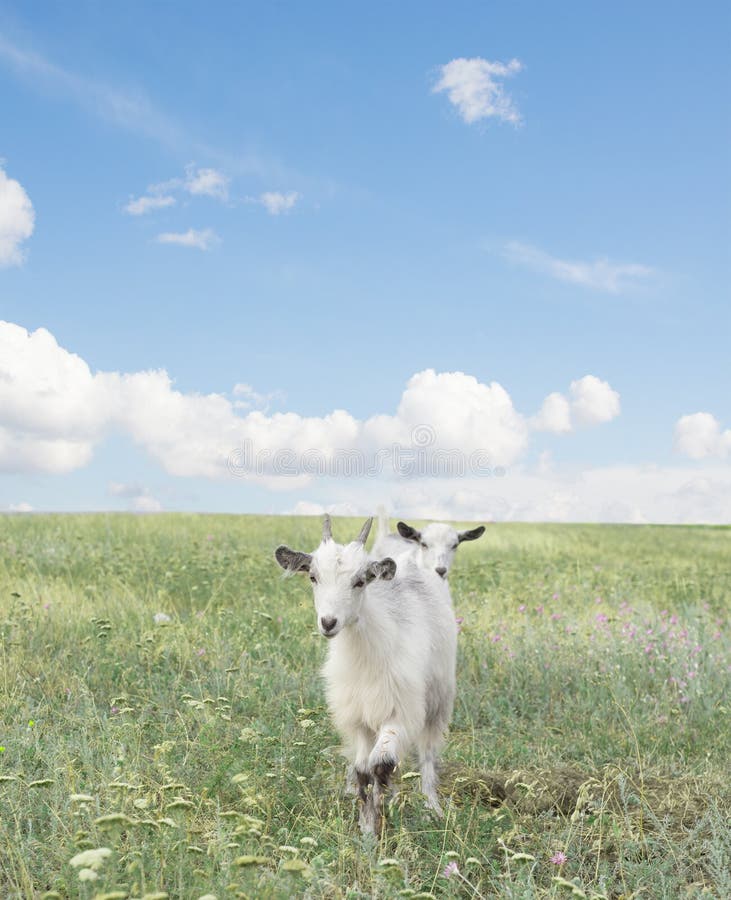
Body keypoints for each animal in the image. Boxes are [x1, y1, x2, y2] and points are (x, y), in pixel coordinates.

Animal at [275, 515, 457, 834]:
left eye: (360, 581)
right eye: (313, 577)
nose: (329, 622)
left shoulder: (399, 710)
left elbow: (381, 764)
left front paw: (377, 823)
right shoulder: (357, 714)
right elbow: (363, 770)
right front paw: (367, 824)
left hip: (438, 697)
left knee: (427, 752)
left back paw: (430, 803)